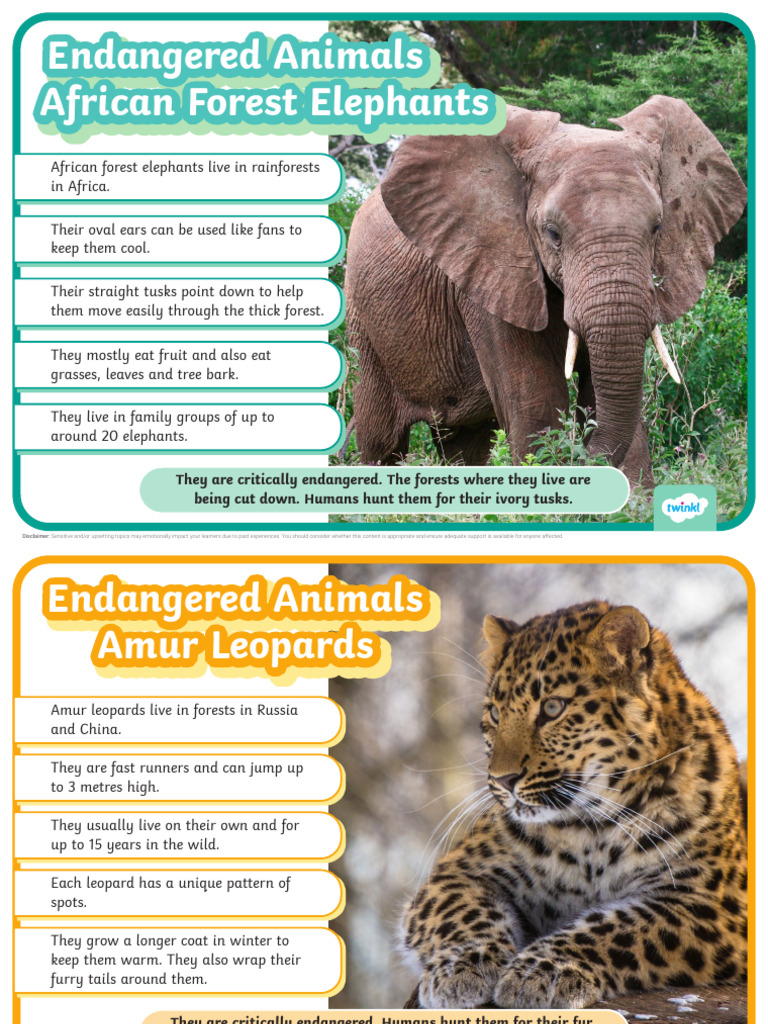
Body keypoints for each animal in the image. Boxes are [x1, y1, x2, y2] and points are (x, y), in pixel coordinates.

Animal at [344, 96, 746, 484]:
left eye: (658, 228)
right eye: (553, 233)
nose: (587, 457)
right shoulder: (490, 268)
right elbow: (536, 409)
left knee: (465, 445)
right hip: (365, 330)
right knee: (381, 440)